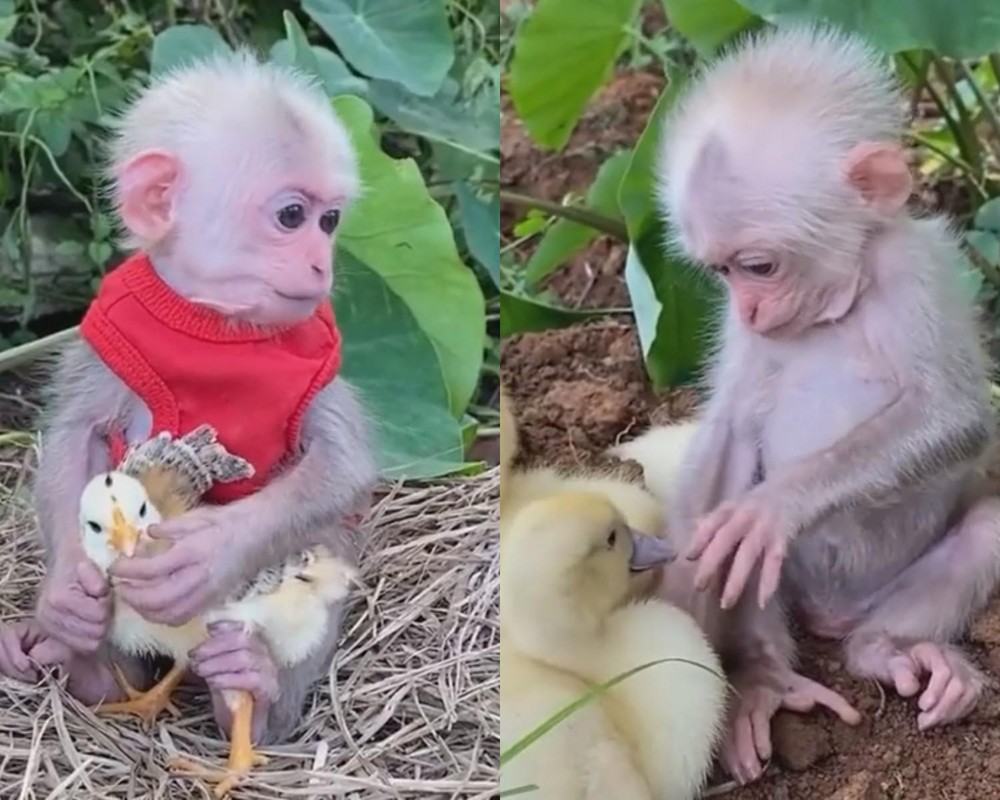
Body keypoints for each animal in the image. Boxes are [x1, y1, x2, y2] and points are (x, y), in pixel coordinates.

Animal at [0, 50, 376, 745]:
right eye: (292, 217)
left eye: (330, 221)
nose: (322, 263)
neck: (213, 321)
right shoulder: (104, 337)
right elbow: (74, 436)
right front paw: (66, 595)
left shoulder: (316, 356)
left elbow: (345, 467)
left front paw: (206, 555)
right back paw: (85, 664)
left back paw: (251, 692)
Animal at [655, 25, 1000, 785]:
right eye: (721, 273)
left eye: (759, 267)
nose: (750, 311)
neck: (839, 302)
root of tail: (832, 615)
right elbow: (730, 438)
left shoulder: (917, 267)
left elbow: (956, 414)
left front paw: (778, 504)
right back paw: (762, 679)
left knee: (987, 527)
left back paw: (889, 649)